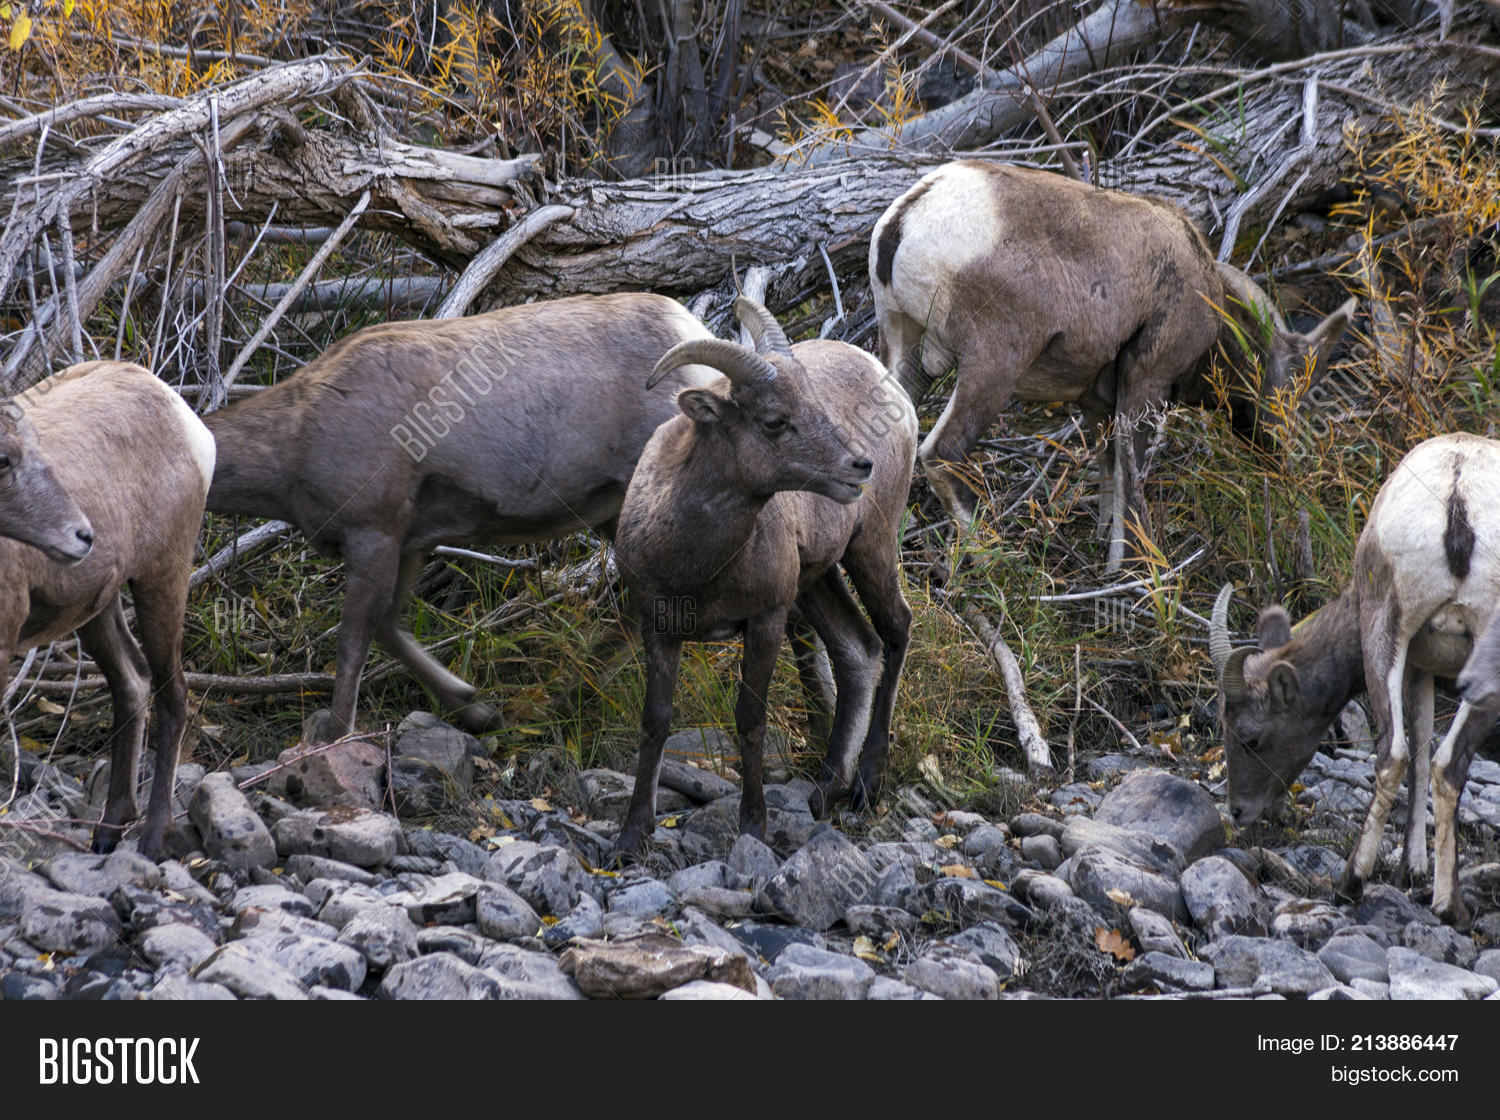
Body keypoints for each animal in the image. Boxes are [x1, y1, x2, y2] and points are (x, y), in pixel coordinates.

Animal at [0, 361, 214, 857]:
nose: (80, 534)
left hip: (162, 581)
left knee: (172, 694)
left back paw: (153, 839)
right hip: (97, 609)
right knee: (132, 682)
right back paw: (108, 830)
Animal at [203, 293, 730, 743]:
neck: (290, 448)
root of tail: (692, 331)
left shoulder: (373, 530)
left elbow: (354, 640)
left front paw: (333, 734)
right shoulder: (412, 540)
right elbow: (389, 627)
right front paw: (475, 709)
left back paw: (565, 699)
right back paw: (562, 699)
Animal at [609, 296, 917, 859]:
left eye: (816, 403)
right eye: (775, 420)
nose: (858, 466)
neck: (694, 562)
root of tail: (893, 389)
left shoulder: (766, 620)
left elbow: (750, 721)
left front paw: (753, 827)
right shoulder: (658, 628)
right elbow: (655, 723)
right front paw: (631, 836)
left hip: (871, 548)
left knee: (895, 630)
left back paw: (865, 786)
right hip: (817, 580)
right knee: (858, 649)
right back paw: (825, 789)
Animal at [871, 160, 1354, 567]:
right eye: (1290, 388)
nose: (1281, 457)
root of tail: (908, 219)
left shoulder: (1097, 402)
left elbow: (1108, 469)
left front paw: (1105, 540)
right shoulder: (1145, 384)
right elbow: (1130, 474)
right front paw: (1134, 569)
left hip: (903, 353)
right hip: (992, 367)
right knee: (942, 453)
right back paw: (994, 558)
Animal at [1213, 433, 1500, 926]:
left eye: (1250, 737)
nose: (1238, 810)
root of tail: (1458, 498)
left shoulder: (1416, 668)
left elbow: (1418, 753)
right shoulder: (1424, 669)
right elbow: (1422, 752)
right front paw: (1414, 872)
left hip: (1385, 631)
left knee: (1399, 756)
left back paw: (1355, 885)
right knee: (1434, 762)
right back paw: (1444, 905)